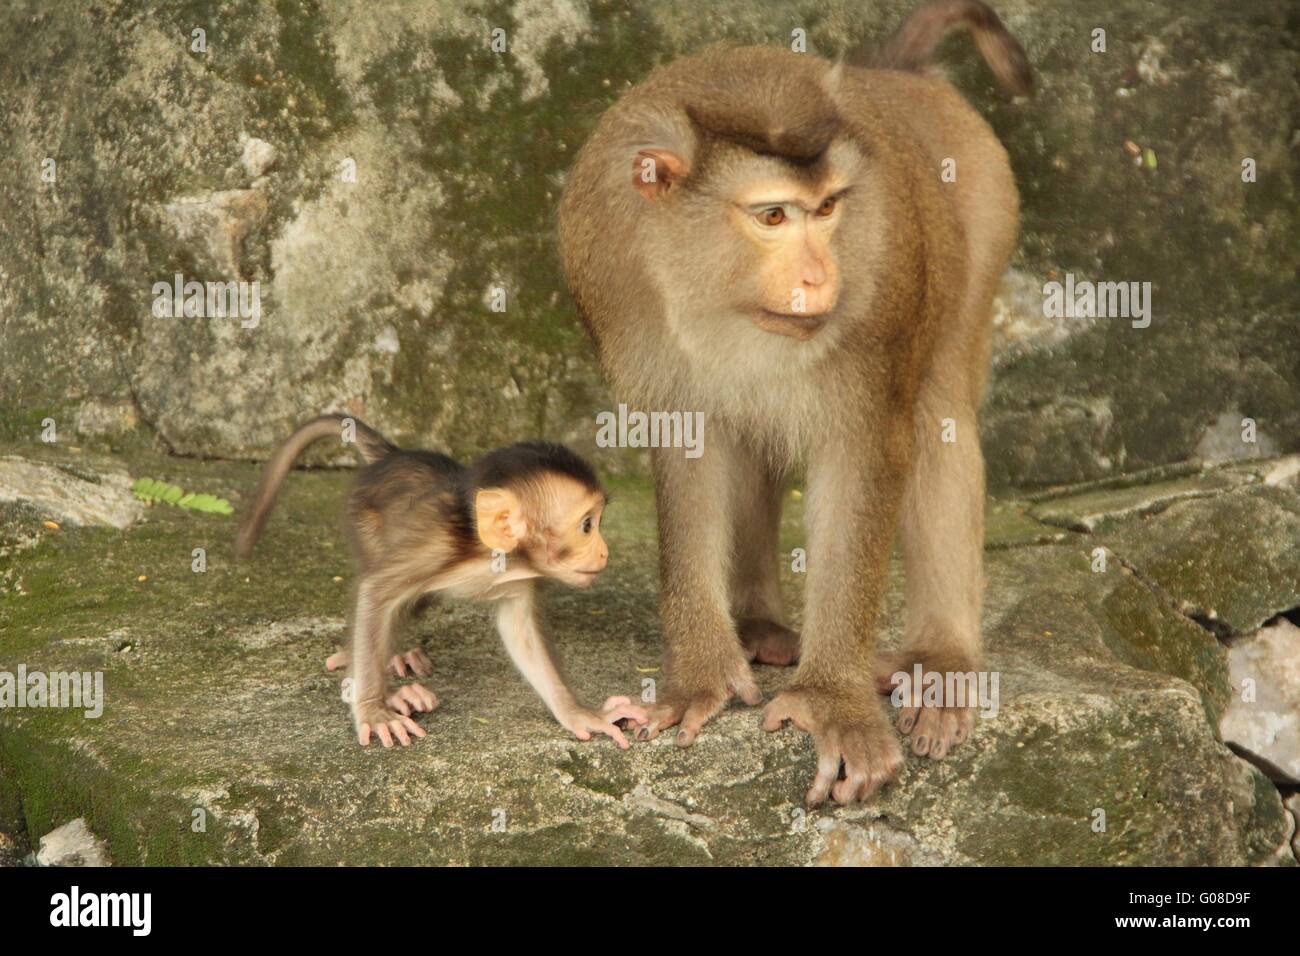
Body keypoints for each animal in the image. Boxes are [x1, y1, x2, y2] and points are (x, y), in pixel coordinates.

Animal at [235, 414, 647, 749]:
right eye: (587, 525)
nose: (604, 551)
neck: (488, 550)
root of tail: (392, 455)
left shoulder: (519, 577)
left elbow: (520, 630)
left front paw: (578, 714)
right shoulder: (434, 547)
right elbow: (376, 591)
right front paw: (372, 710)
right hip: (364, 519)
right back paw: (384, 684)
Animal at [558, 0, 1030, 805]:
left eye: (830, 207)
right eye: (774, 217)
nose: (820, 279)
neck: (713, 290)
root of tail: (897, 78)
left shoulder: (879, 294)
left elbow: (868, 451)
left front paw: (832, 701)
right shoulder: (619, 286)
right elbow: (693, 448)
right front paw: (701, 675)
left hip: (983, 203)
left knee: (938, 411)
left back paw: (940, 660)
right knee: (753, 433)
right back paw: (755, 624)